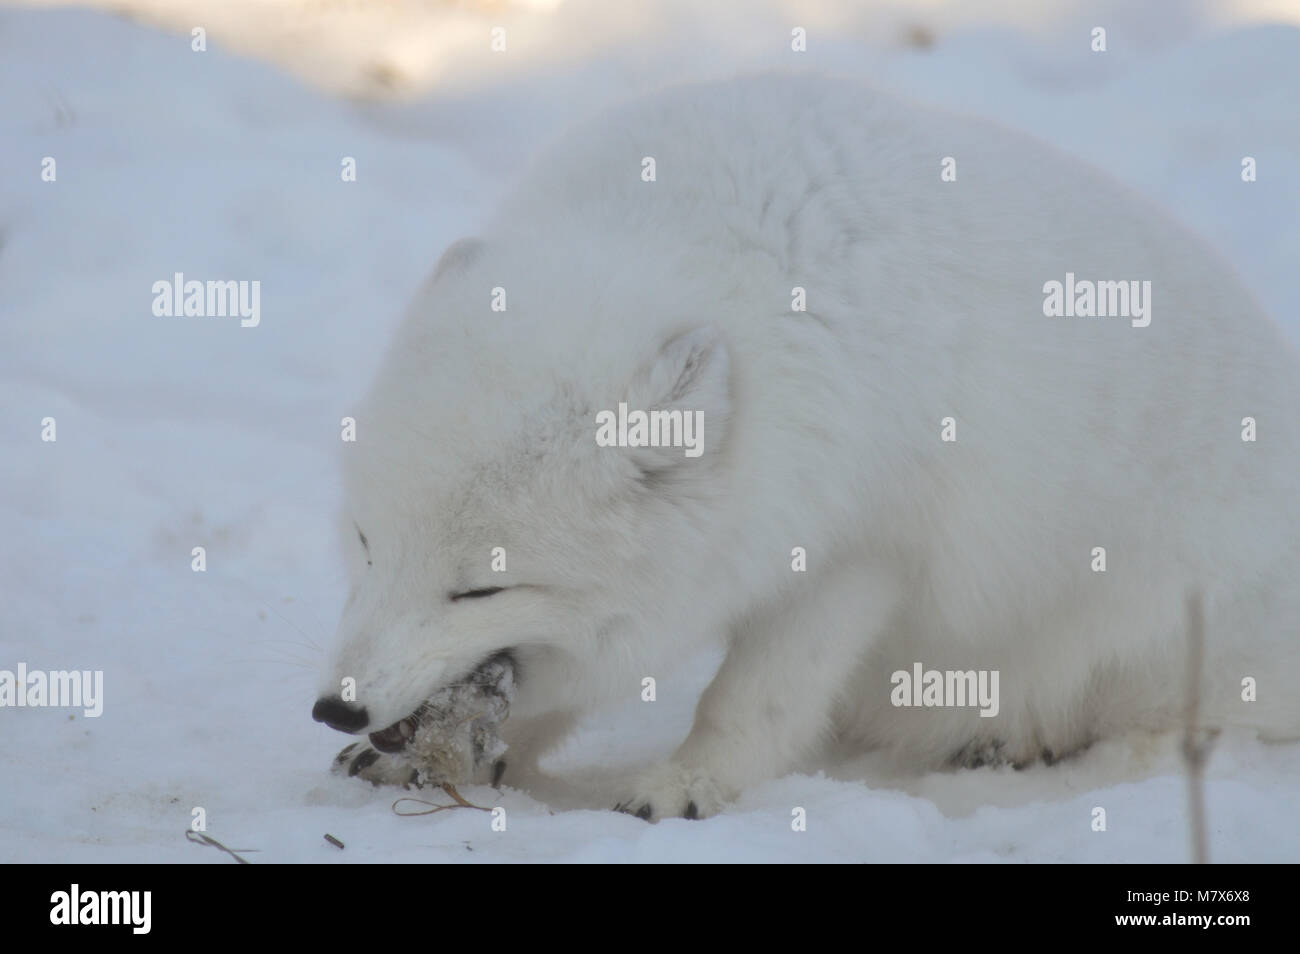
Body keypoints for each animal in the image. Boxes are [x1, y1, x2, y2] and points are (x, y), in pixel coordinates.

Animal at [313, 73, 1300, 820]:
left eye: (481, 588)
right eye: (366, 544)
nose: (335, 707)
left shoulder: (856, 555)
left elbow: (754, 698)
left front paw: (686, 784)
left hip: (1160, 635)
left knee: (1173, 733)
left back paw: (1026, 747)